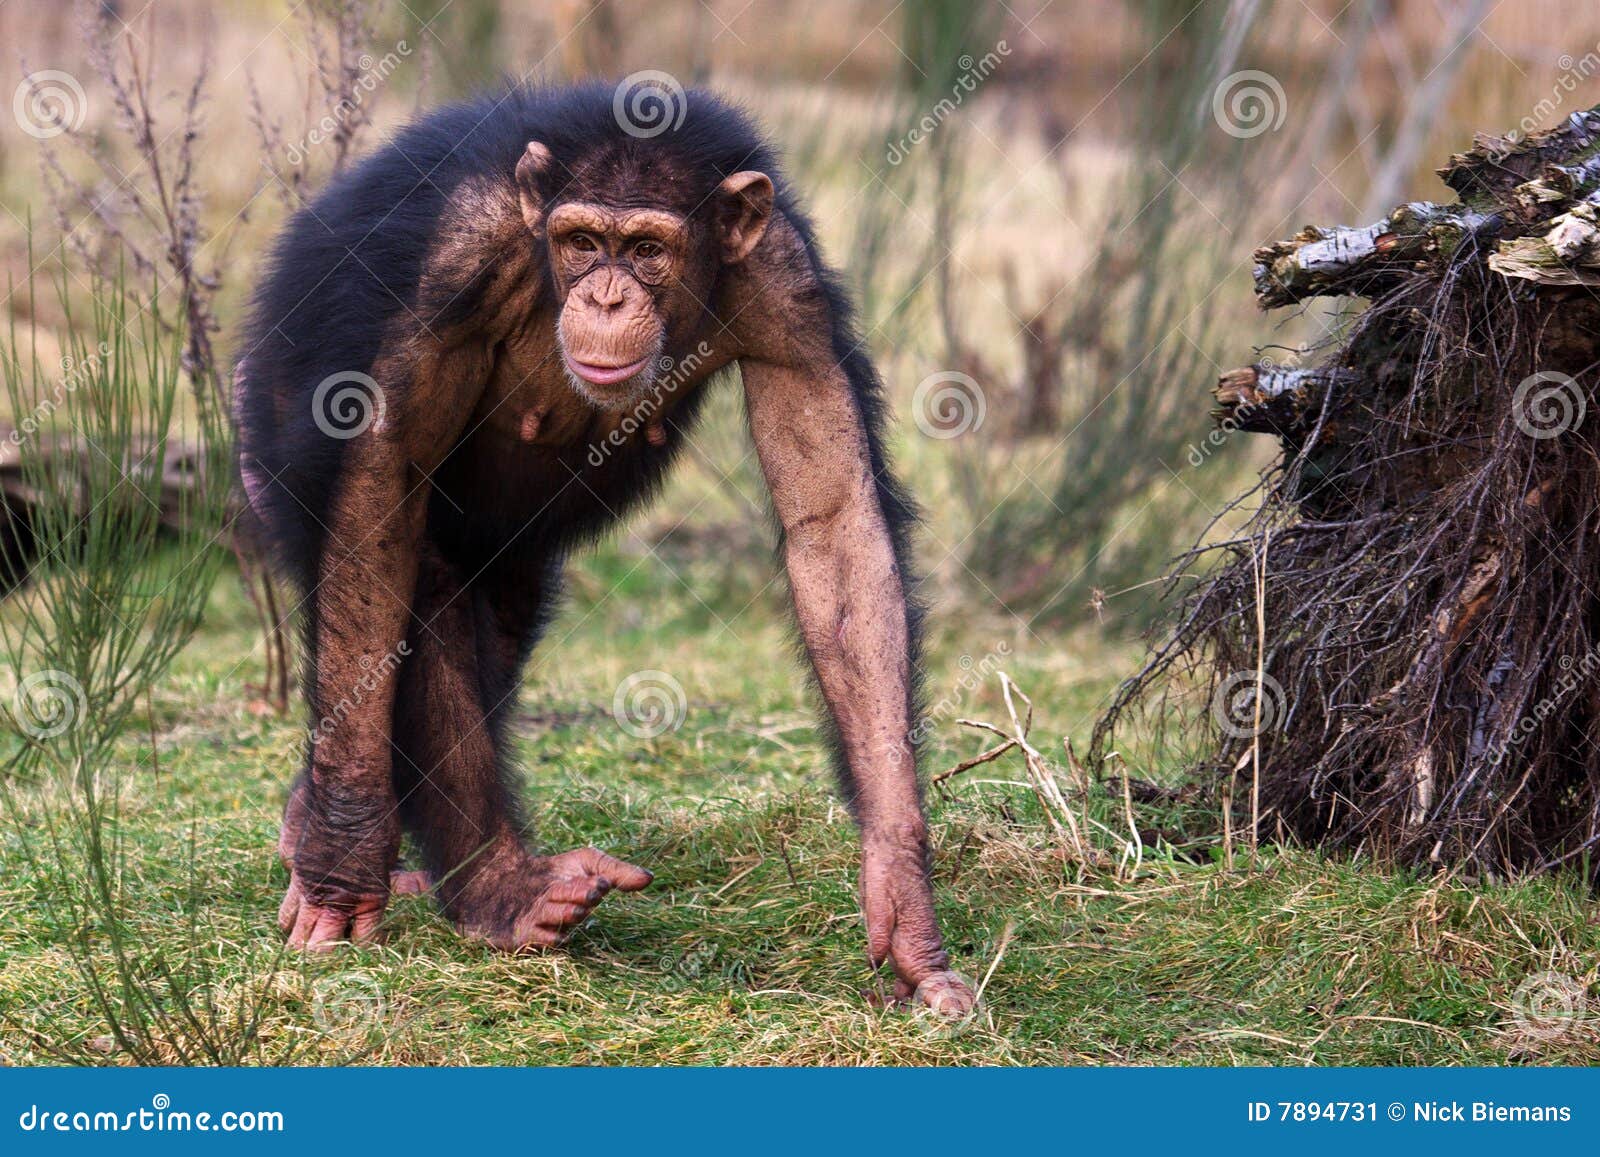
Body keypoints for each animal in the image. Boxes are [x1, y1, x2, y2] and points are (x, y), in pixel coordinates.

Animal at [235, 81, 973, 1015]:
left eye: (647, 248)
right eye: (582, 242)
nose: (610, 297)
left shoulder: (786, 287)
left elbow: (834, 522)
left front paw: (905, 895)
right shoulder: (454, 263)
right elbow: (381, 475)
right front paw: (342, 857)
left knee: (497, 621)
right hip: (266, 408)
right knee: (406, 583)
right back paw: (498, 890)